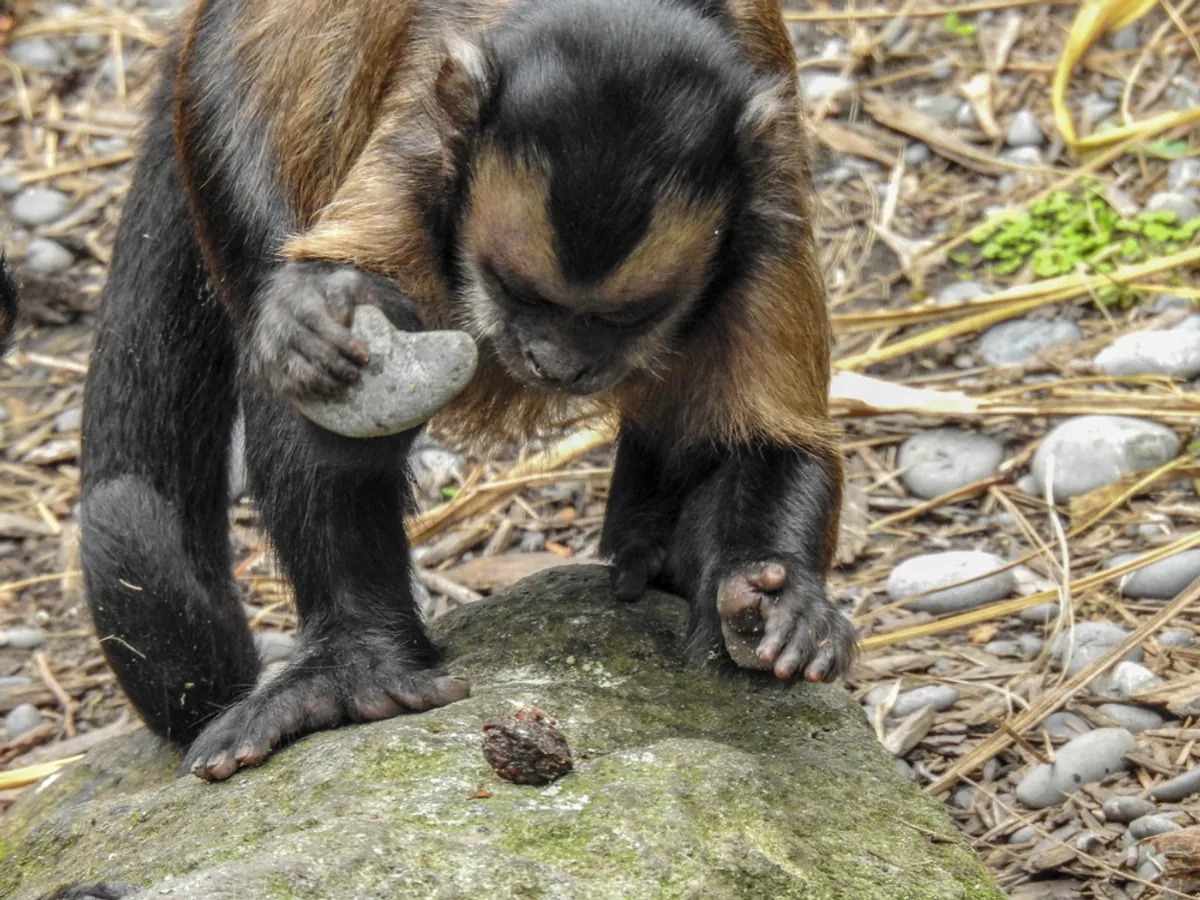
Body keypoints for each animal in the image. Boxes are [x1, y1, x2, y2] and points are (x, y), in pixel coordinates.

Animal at [79, 0, 856, 782]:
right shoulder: (424, 150)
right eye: (516, 289)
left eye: (629, 316)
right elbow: (332, 367)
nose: (555, 363)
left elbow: (762, 440)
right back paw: (352, 668)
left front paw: (775, 595)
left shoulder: (767, 211)